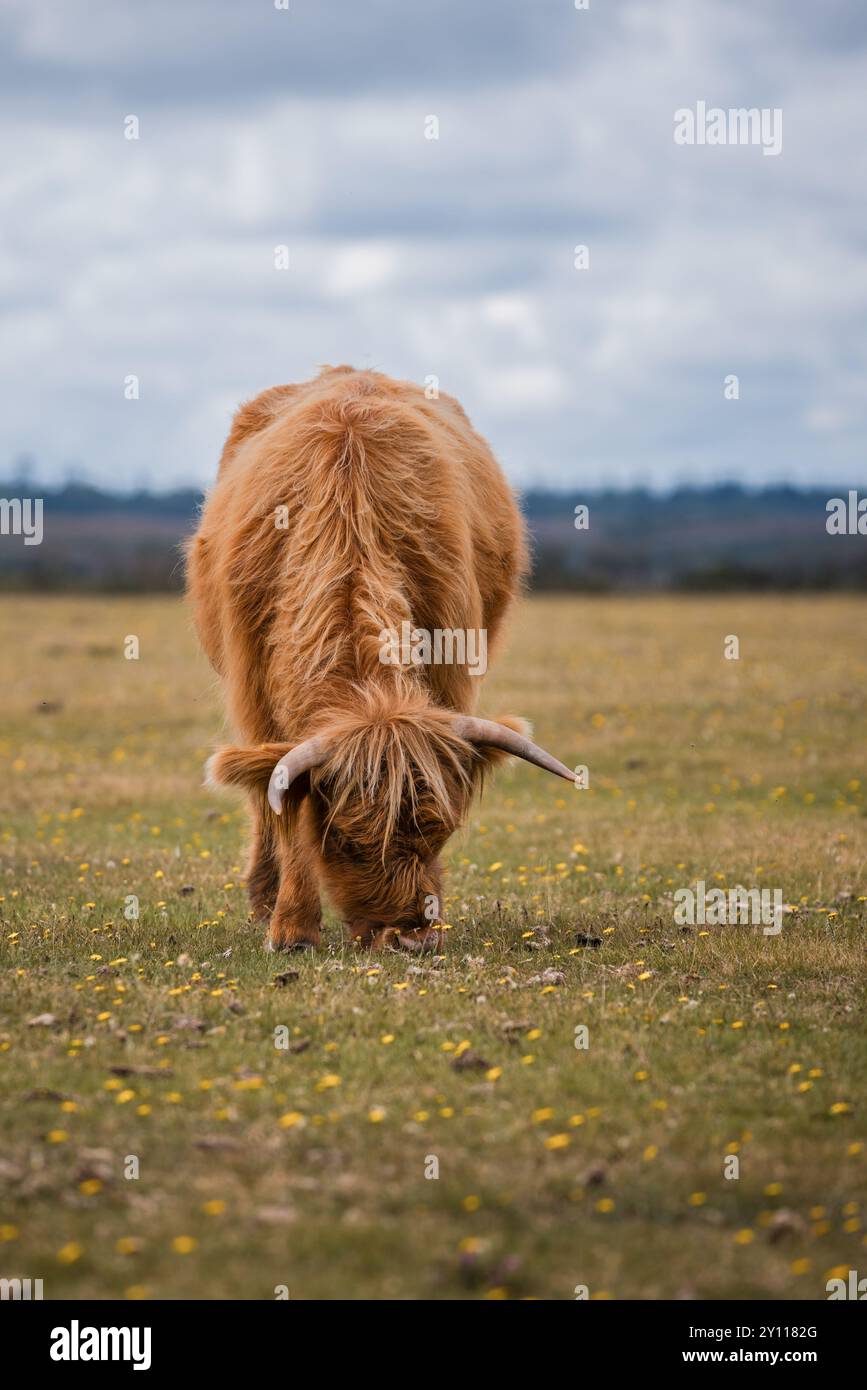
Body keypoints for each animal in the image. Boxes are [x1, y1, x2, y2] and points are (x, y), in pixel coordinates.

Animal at [186, 366, 575, 952]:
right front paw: (292, 928)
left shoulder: (451, 676)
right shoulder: (254, 693)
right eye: (348, 841)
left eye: (440, 831)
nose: (411, 938)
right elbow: (283, 803)